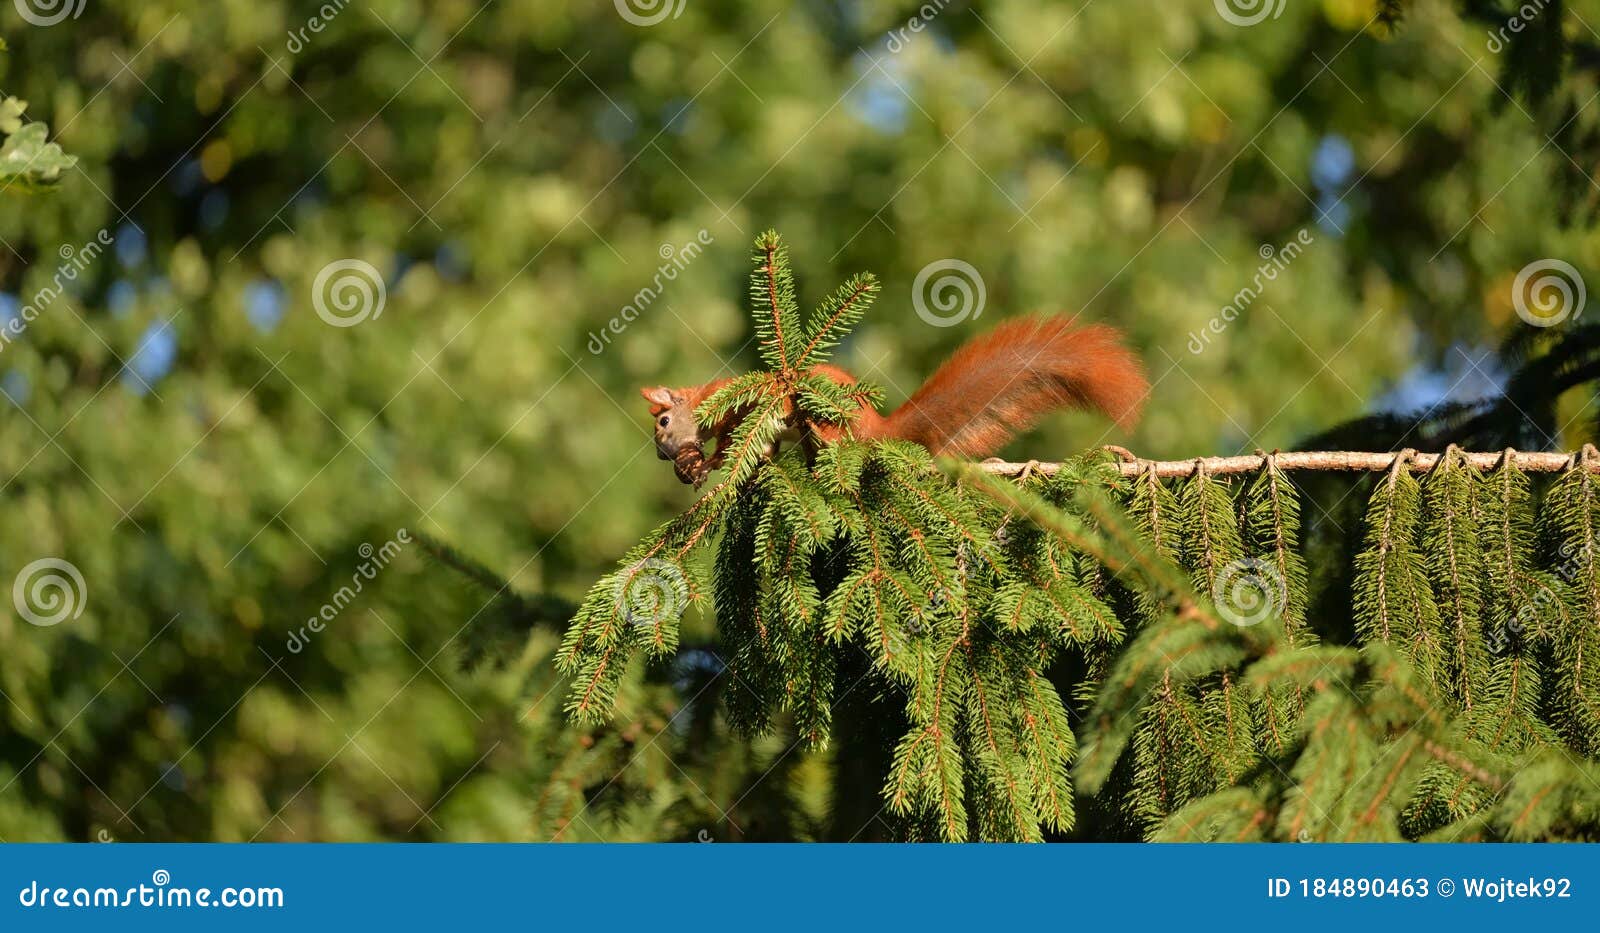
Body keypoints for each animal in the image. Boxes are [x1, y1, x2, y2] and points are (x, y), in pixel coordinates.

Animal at [641, 314, 1148, 485]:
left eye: (662, 422)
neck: (706, 399)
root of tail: (876, 426)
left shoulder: (742, 408)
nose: (662, 457)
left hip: (828, 415)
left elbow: (736, 441)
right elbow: (760, 449)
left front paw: (707, 464)